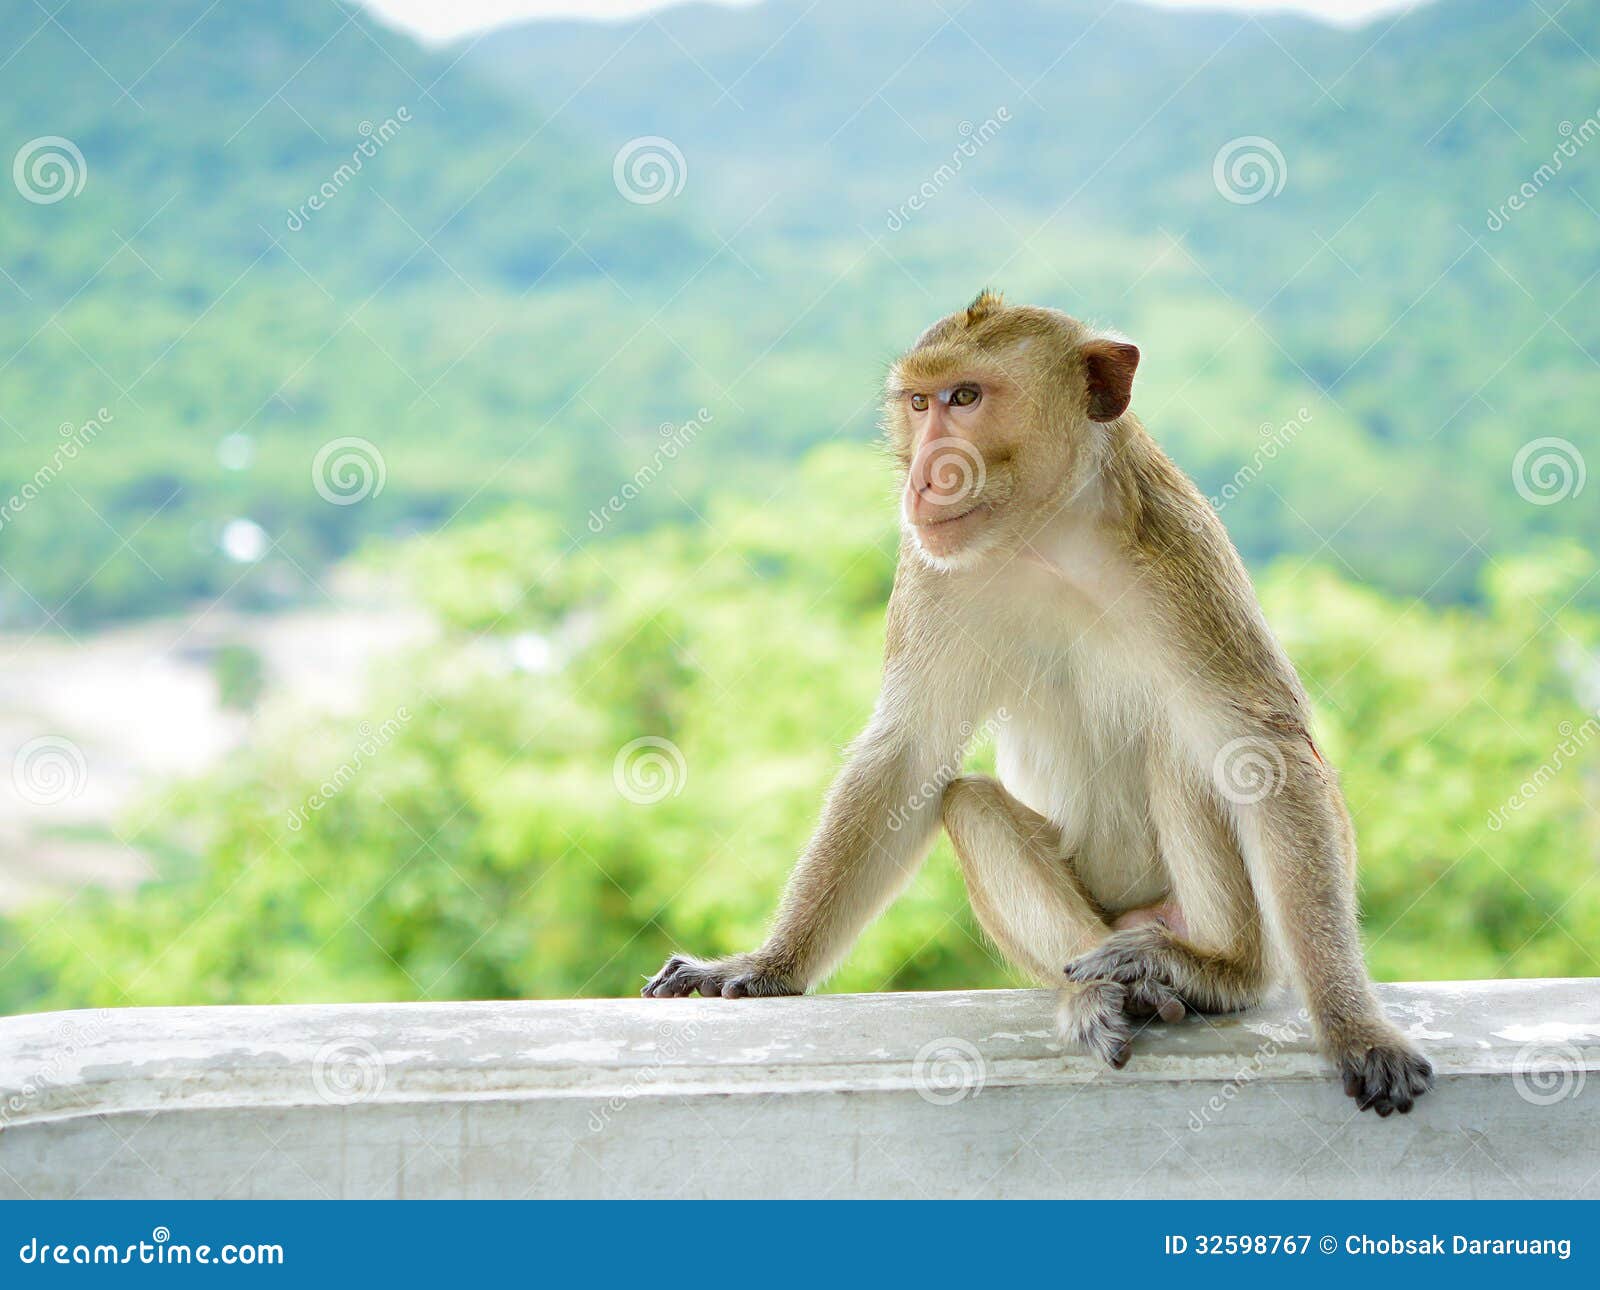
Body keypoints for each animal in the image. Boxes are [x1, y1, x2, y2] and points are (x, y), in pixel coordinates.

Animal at [644, 290, 1434, 1117]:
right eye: (920, 403)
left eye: (966, 398)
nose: (926, 473)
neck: (1044, 531)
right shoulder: (930, 572)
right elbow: (908, 757)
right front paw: (767, 964)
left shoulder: (1180, 553)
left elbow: (1264, 749)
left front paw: (1352, 1026)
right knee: (972, 807)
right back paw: (1105, 993)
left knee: (1184, 752)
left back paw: (1214, 971)